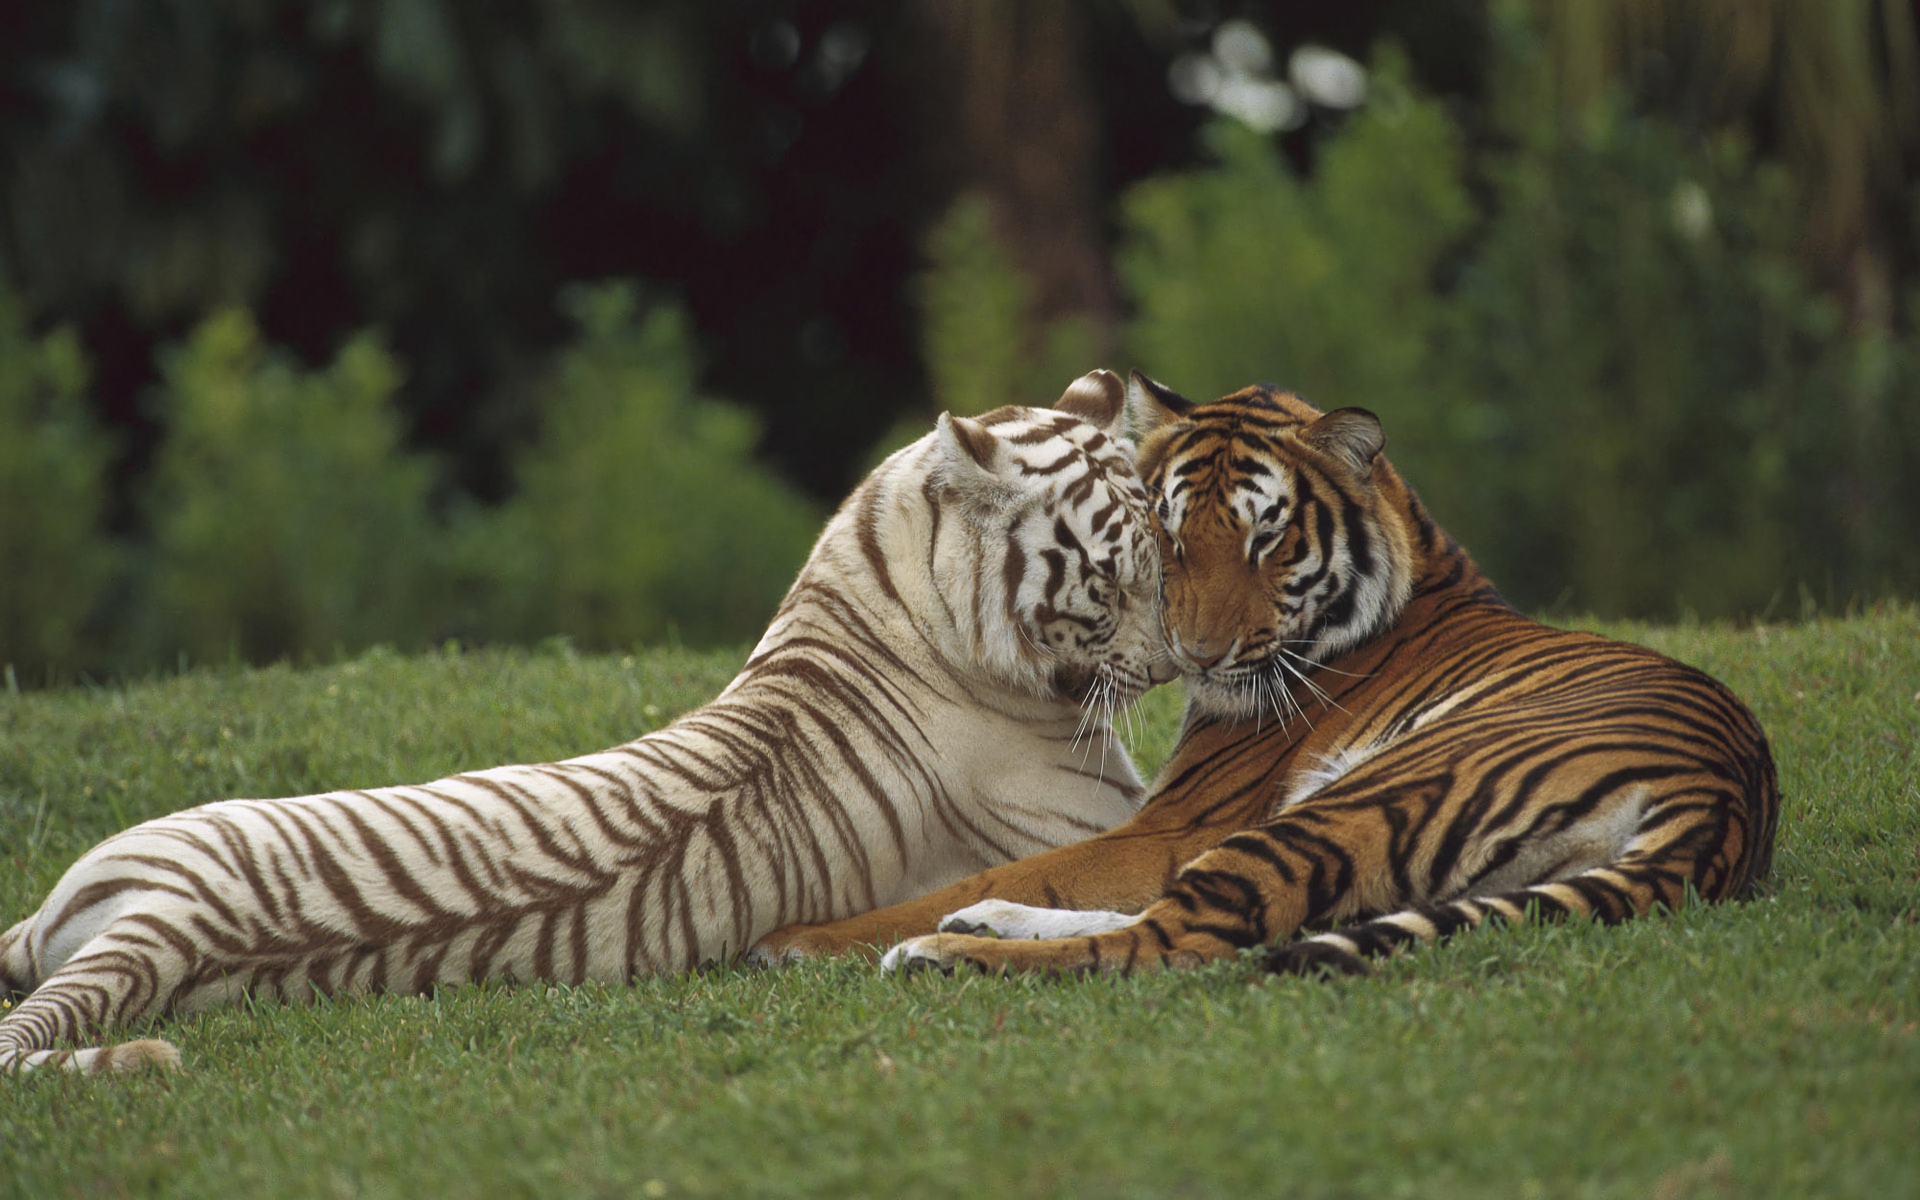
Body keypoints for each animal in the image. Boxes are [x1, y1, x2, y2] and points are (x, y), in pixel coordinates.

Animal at [747, 375, 1780, 977]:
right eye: (1169, 536)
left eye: (1266, 539)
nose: (1194, 657)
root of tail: (1724, 800)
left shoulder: (1180, 822)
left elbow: (1029, 865)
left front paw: (804, 938)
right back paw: (980, 926)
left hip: (1356, 801)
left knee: (1171, 939)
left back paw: (936, 952)